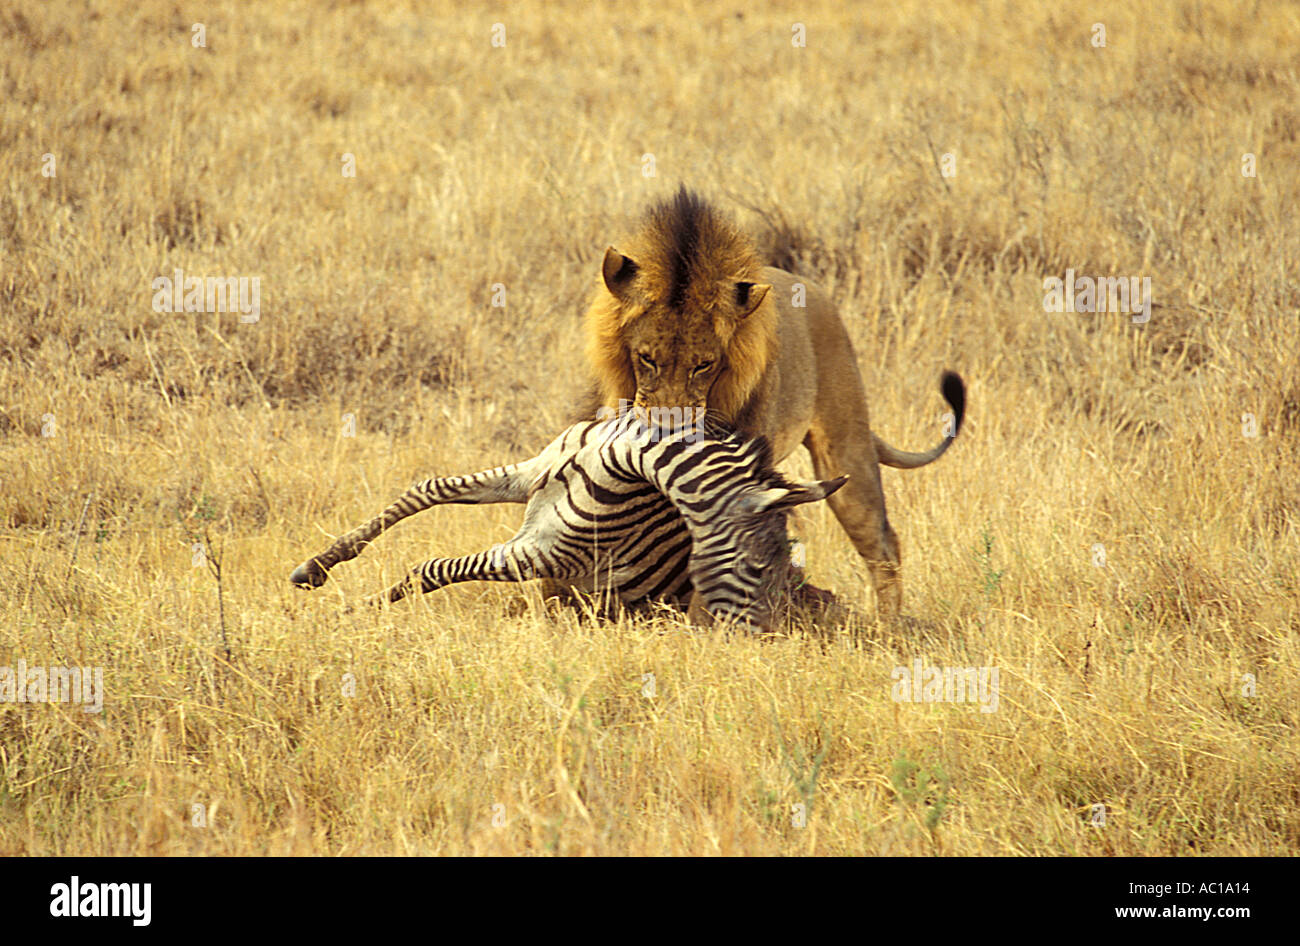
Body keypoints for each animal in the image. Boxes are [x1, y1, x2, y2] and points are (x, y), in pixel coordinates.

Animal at [576, 187, 965, 618]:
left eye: (704, 365)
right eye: (646, 358)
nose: (667, 430)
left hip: (846, 448)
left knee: (883, 541)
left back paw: (888, 625)